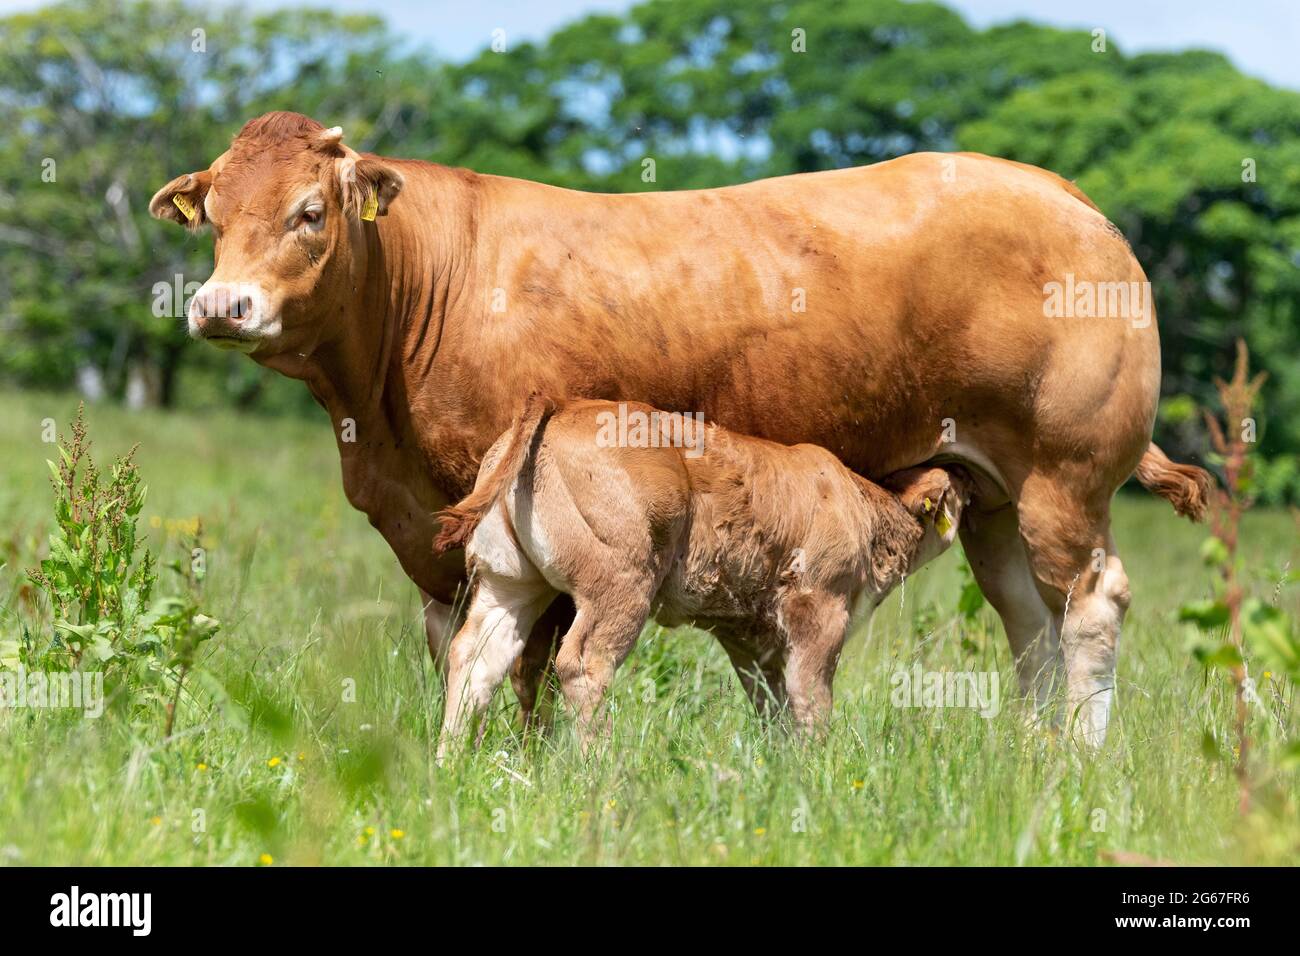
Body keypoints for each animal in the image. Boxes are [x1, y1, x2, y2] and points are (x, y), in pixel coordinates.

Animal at [430, 396, 973, 758]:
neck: (860, 507)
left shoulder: (748, 634)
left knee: (475, 657)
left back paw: (449, 764)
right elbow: (810, 697)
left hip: (507, 585)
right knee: (583, 664)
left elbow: (774, 702)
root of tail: (560, 406)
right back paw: (599, 769)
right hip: (620, 588)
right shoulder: (819, 611)